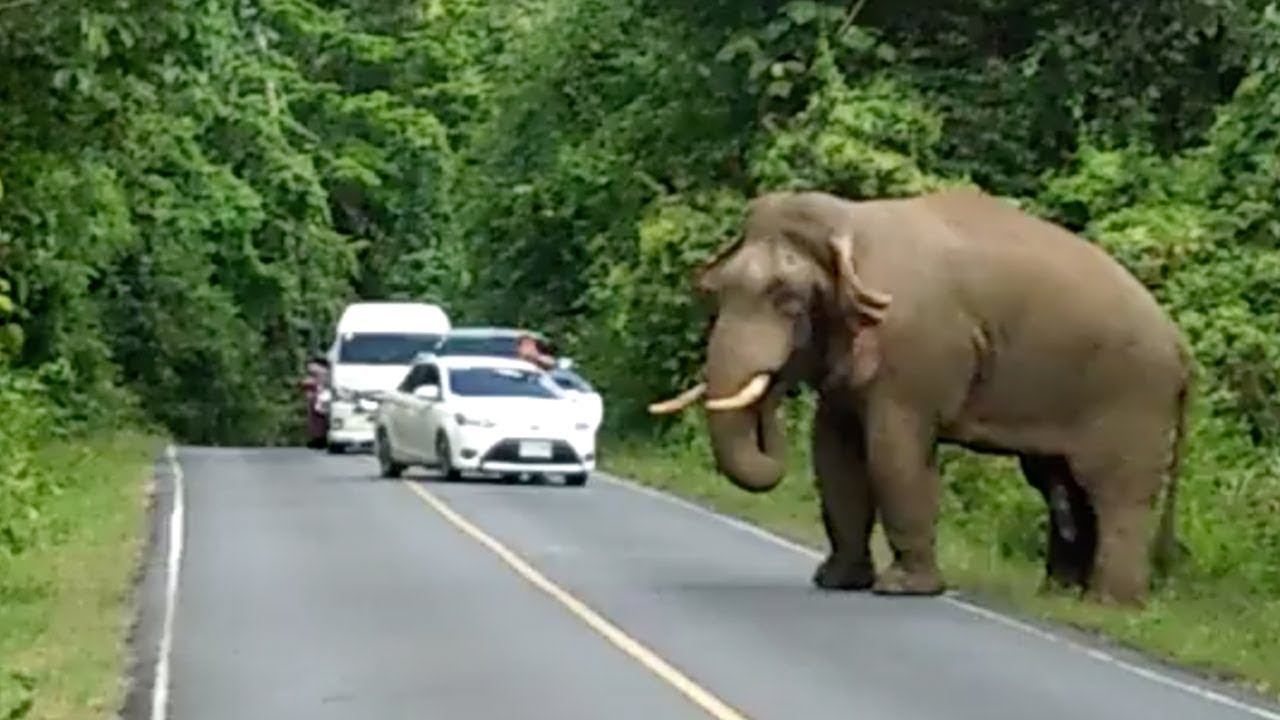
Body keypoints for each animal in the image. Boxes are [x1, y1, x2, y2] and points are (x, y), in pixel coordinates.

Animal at [647, 187, 1191, 606]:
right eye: (717, 293)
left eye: (789, 300)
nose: (775, 381)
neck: (850, 226)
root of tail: (1181, 345)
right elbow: (833, 453)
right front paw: (836, 581)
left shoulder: (914, 354)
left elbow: (894, 453)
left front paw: (904, 589)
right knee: (1062, 486)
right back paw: (1060, 596)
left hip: (1132, 397)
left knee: (1115, 490)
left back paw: (1109, 605)